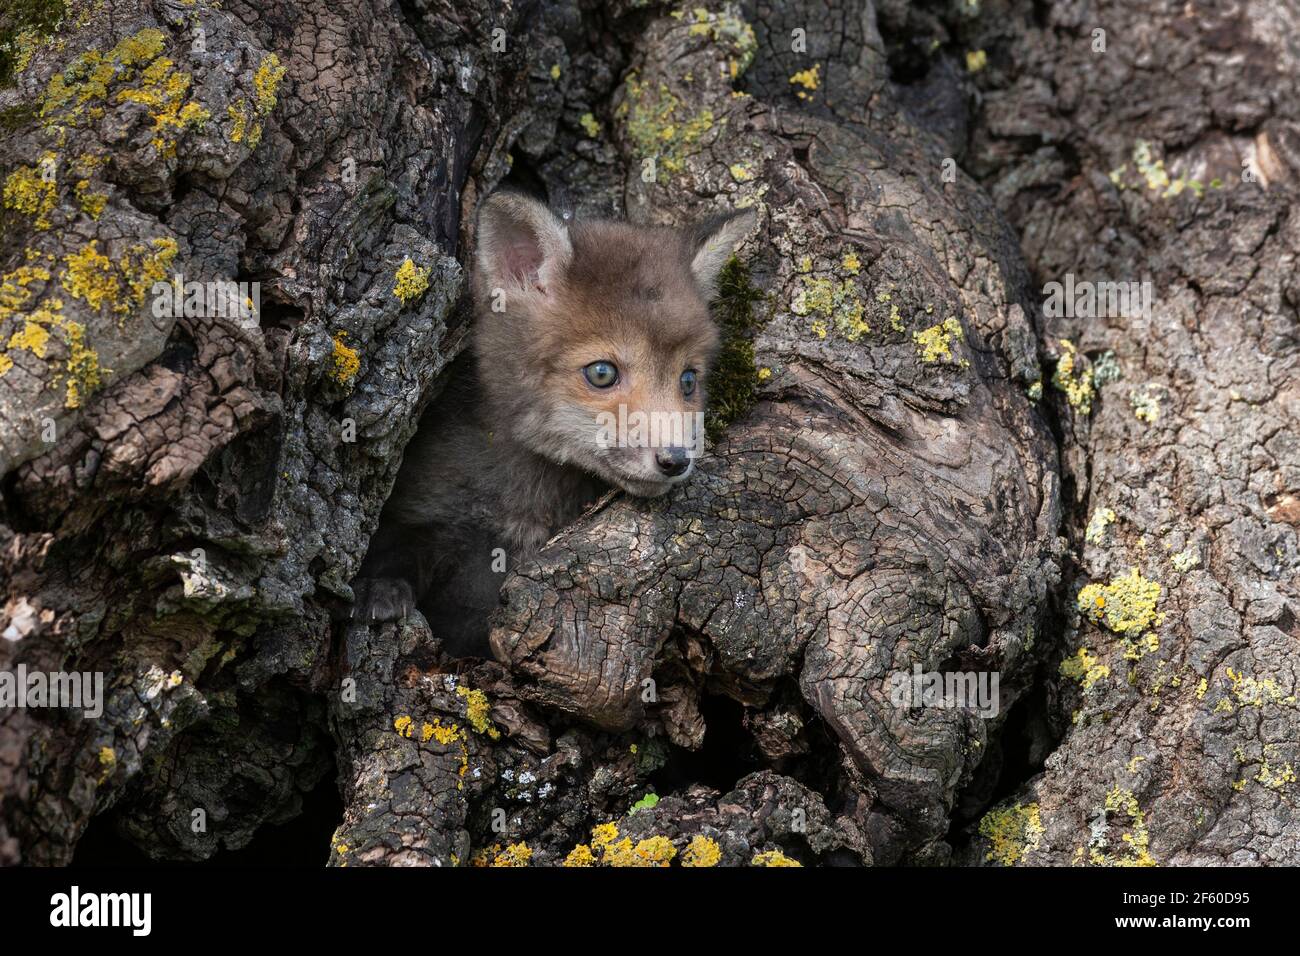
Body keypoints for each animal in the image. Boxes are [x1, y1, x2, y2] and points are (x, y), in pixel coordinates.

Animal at [352, 190, 756, 657]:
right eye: (602, 373)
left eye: (688, 380)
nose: (676, 460)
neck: (529, 499)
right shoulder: (428, 513)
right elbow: (397, 544)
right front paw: (376, 586)